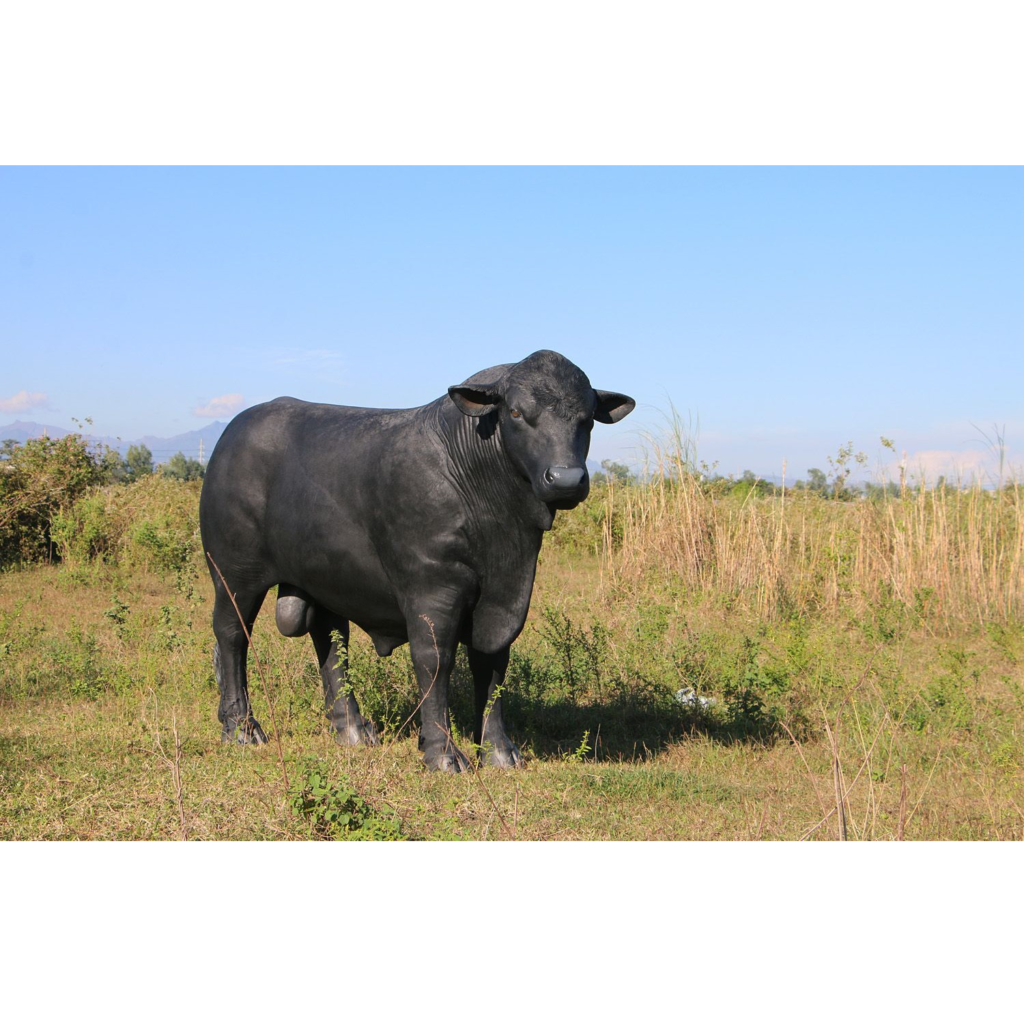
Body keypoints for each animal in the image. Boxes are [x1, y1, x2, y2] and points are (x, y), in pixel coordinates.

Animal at [199, 350, 634, 771]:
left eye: (586, 420)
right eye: (514, 413)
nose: (566, 478)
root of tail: (237, 427)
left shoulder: (502, 600)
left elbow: (492, 666)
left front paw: (499, 752)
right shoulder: (433, 588)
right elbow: (435, 661)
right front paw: (443, 754)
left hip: (325, 577)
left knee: (333, 641)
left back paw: (352, 730)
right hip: (234, 572)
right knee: (232, 635)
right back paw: (241, 728)